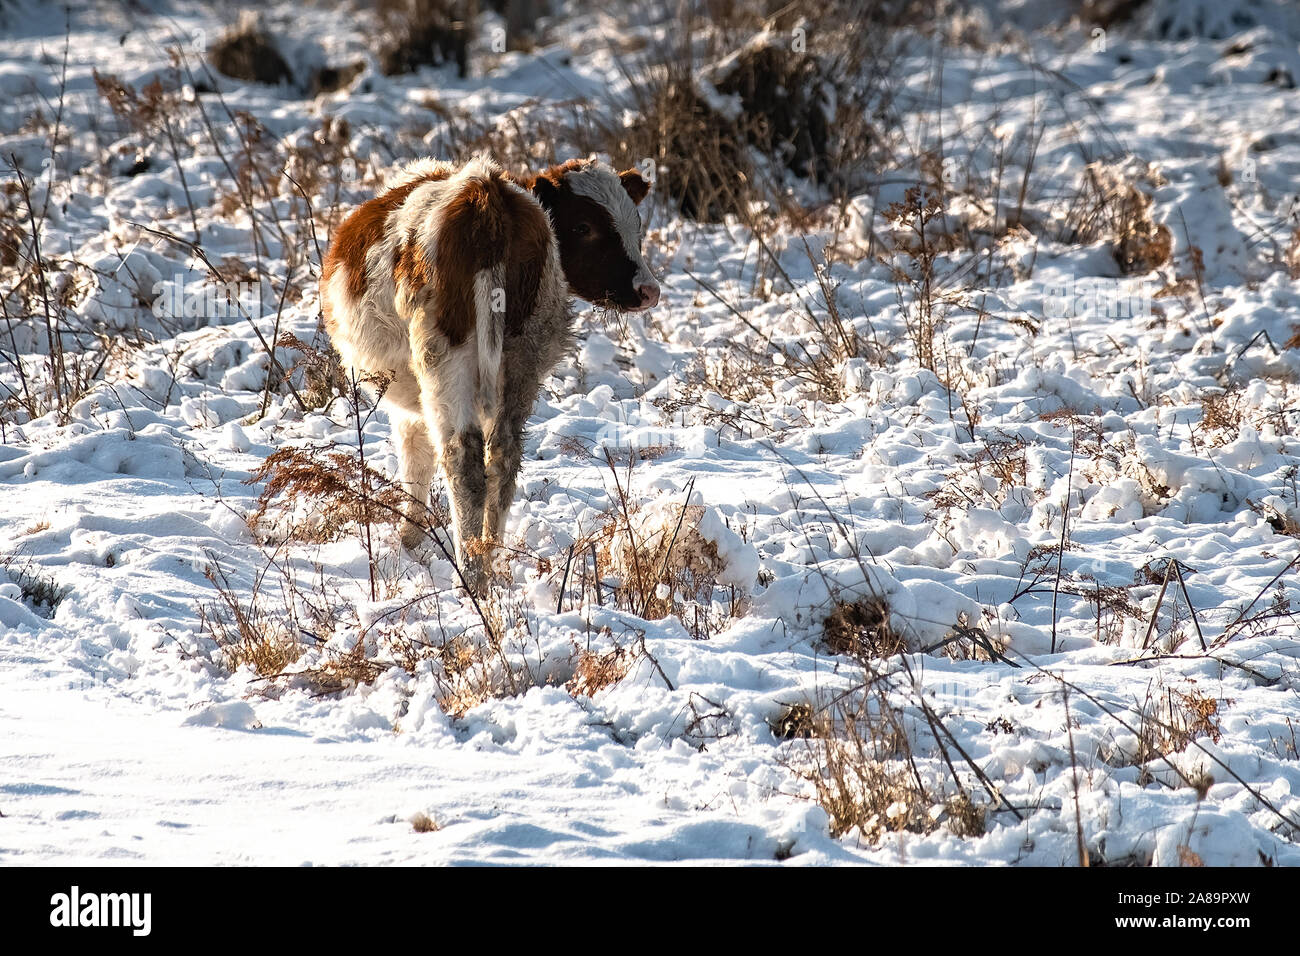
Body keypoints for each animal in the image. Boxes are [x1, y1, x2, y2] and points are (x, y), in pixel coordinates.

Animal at [320, 155, 658, 595]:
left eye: (635, 223)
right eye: (584, 226)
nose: (648, 290)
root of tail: (486, 193)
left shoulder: (407, 400)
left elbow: (415, 458)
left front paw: (408, 538)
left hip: (443, 357)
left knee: (463, 461)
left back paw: (471, 574)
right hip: (524, 355)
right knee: (504, 456)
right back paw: (490, 557)